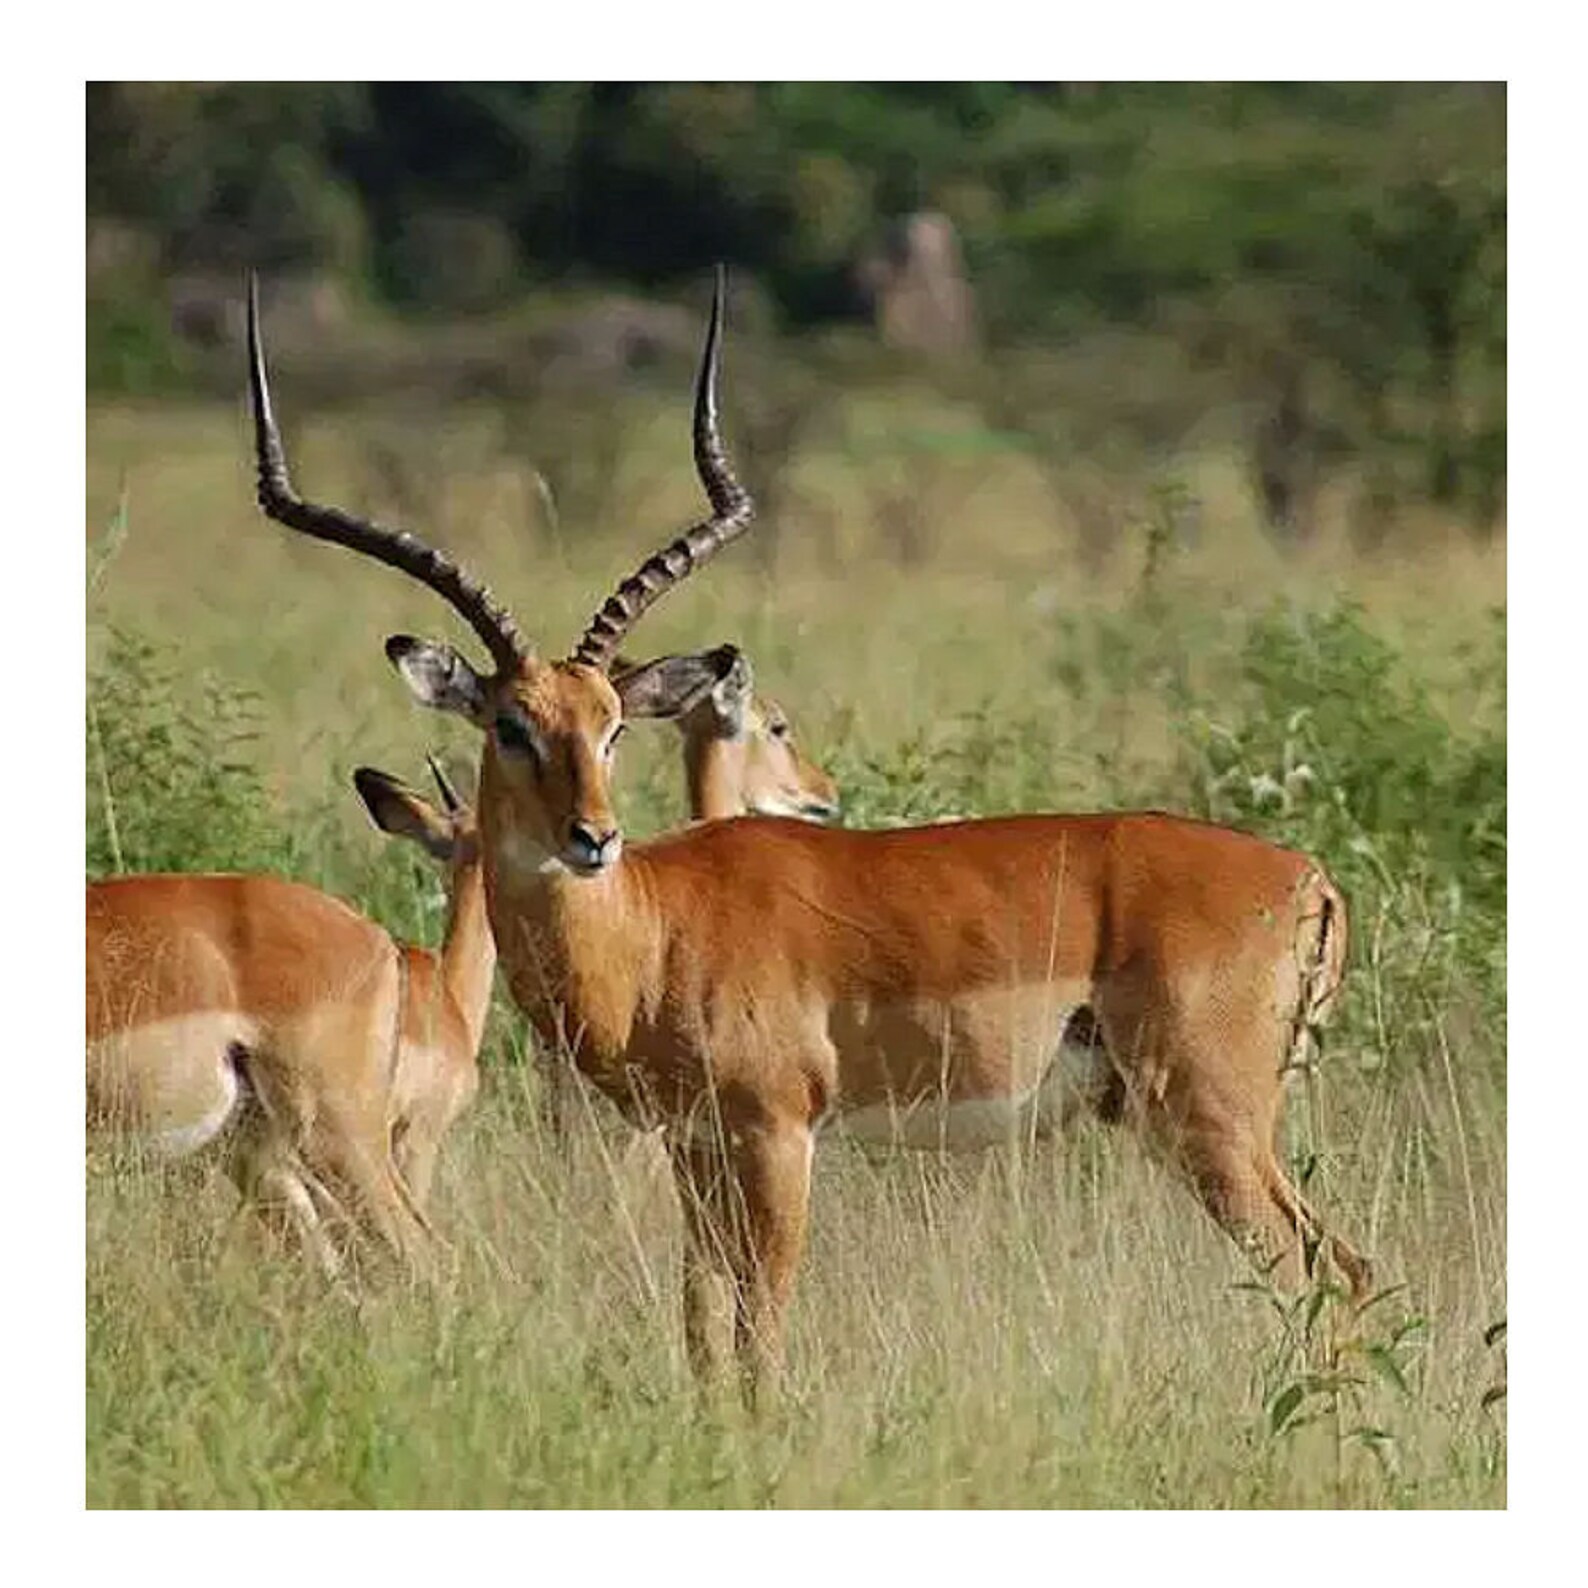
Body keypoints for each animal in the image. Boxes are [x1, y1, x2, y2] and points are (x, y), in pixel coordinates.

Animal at [247, 267, 1368, 1397]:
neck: (654, 931)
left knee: (1327, 1270)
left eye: (612, 724)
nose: (592, 837)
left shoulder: (778, 1133)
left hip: (1209, 1117)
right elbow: (701, 1326)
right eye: (512, 725)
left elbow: (761, 1330)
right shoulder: (693, 1148)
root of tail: (1307, 878)